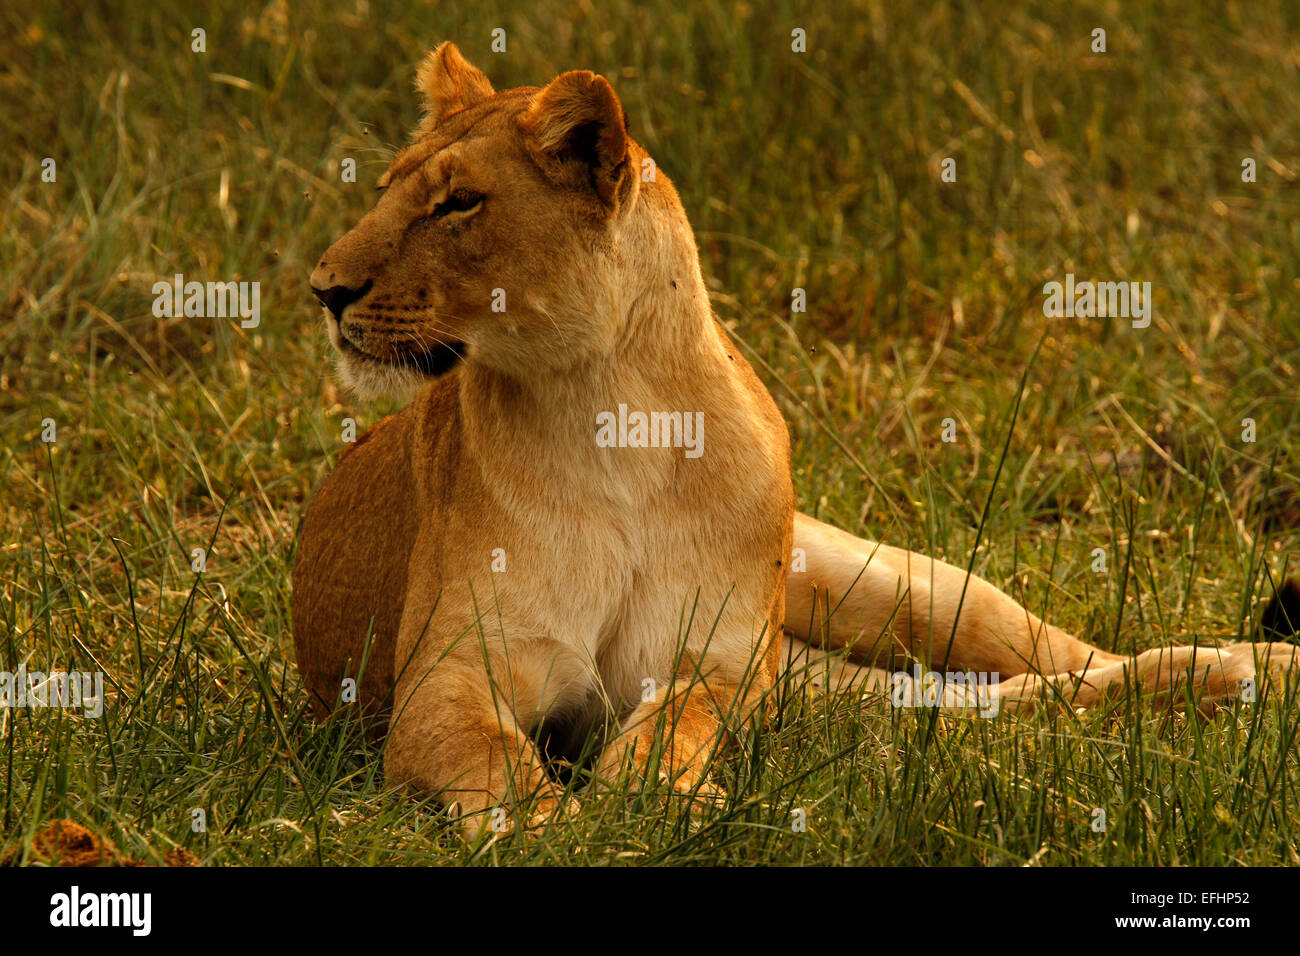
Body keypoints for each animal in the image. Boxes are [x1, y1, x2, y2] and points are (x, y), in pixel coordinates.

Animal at [292, 42, 1300, 834]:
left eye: (458, 203)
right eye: (384, 191)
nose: (324, 289)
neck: (608, 413)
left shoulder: (723, 663)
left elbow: (680, 723)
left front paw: (654, 798)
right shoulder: (446, 678)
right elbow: (495, 762)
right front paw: (560, 828)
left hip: (902, 591)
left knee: (1078, 661)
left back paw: (1252, 669)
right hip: (842, 694)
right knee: (990, 705)